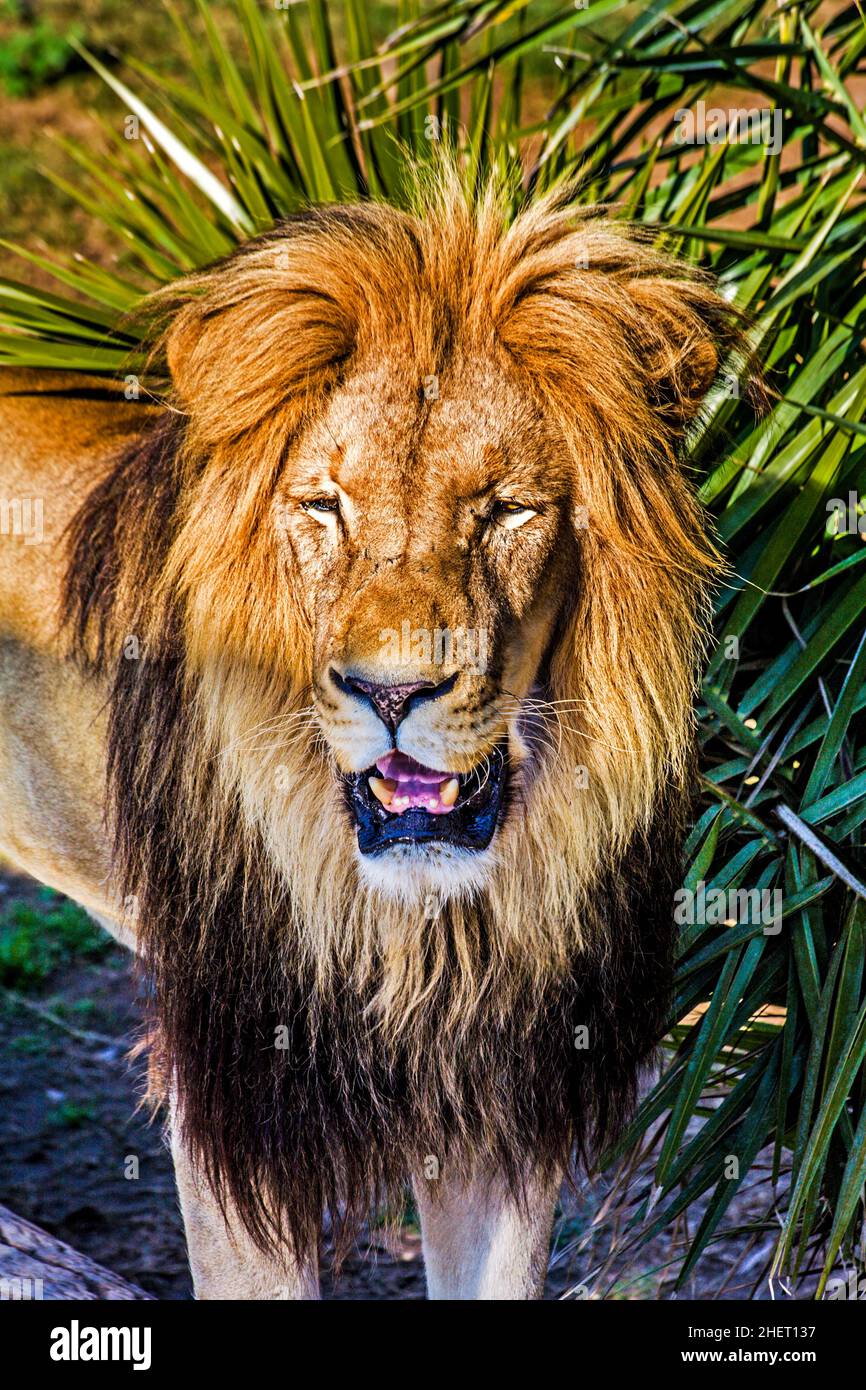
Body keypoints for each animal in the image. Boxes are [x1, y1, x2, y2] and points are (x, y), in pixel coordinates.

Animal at [0, 165, 752, 1299]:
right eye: (323, 506)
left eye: (504, 510)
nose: (390, 695)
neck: (421, 926)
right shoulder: (237, 1107)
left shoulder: (499, 1108)